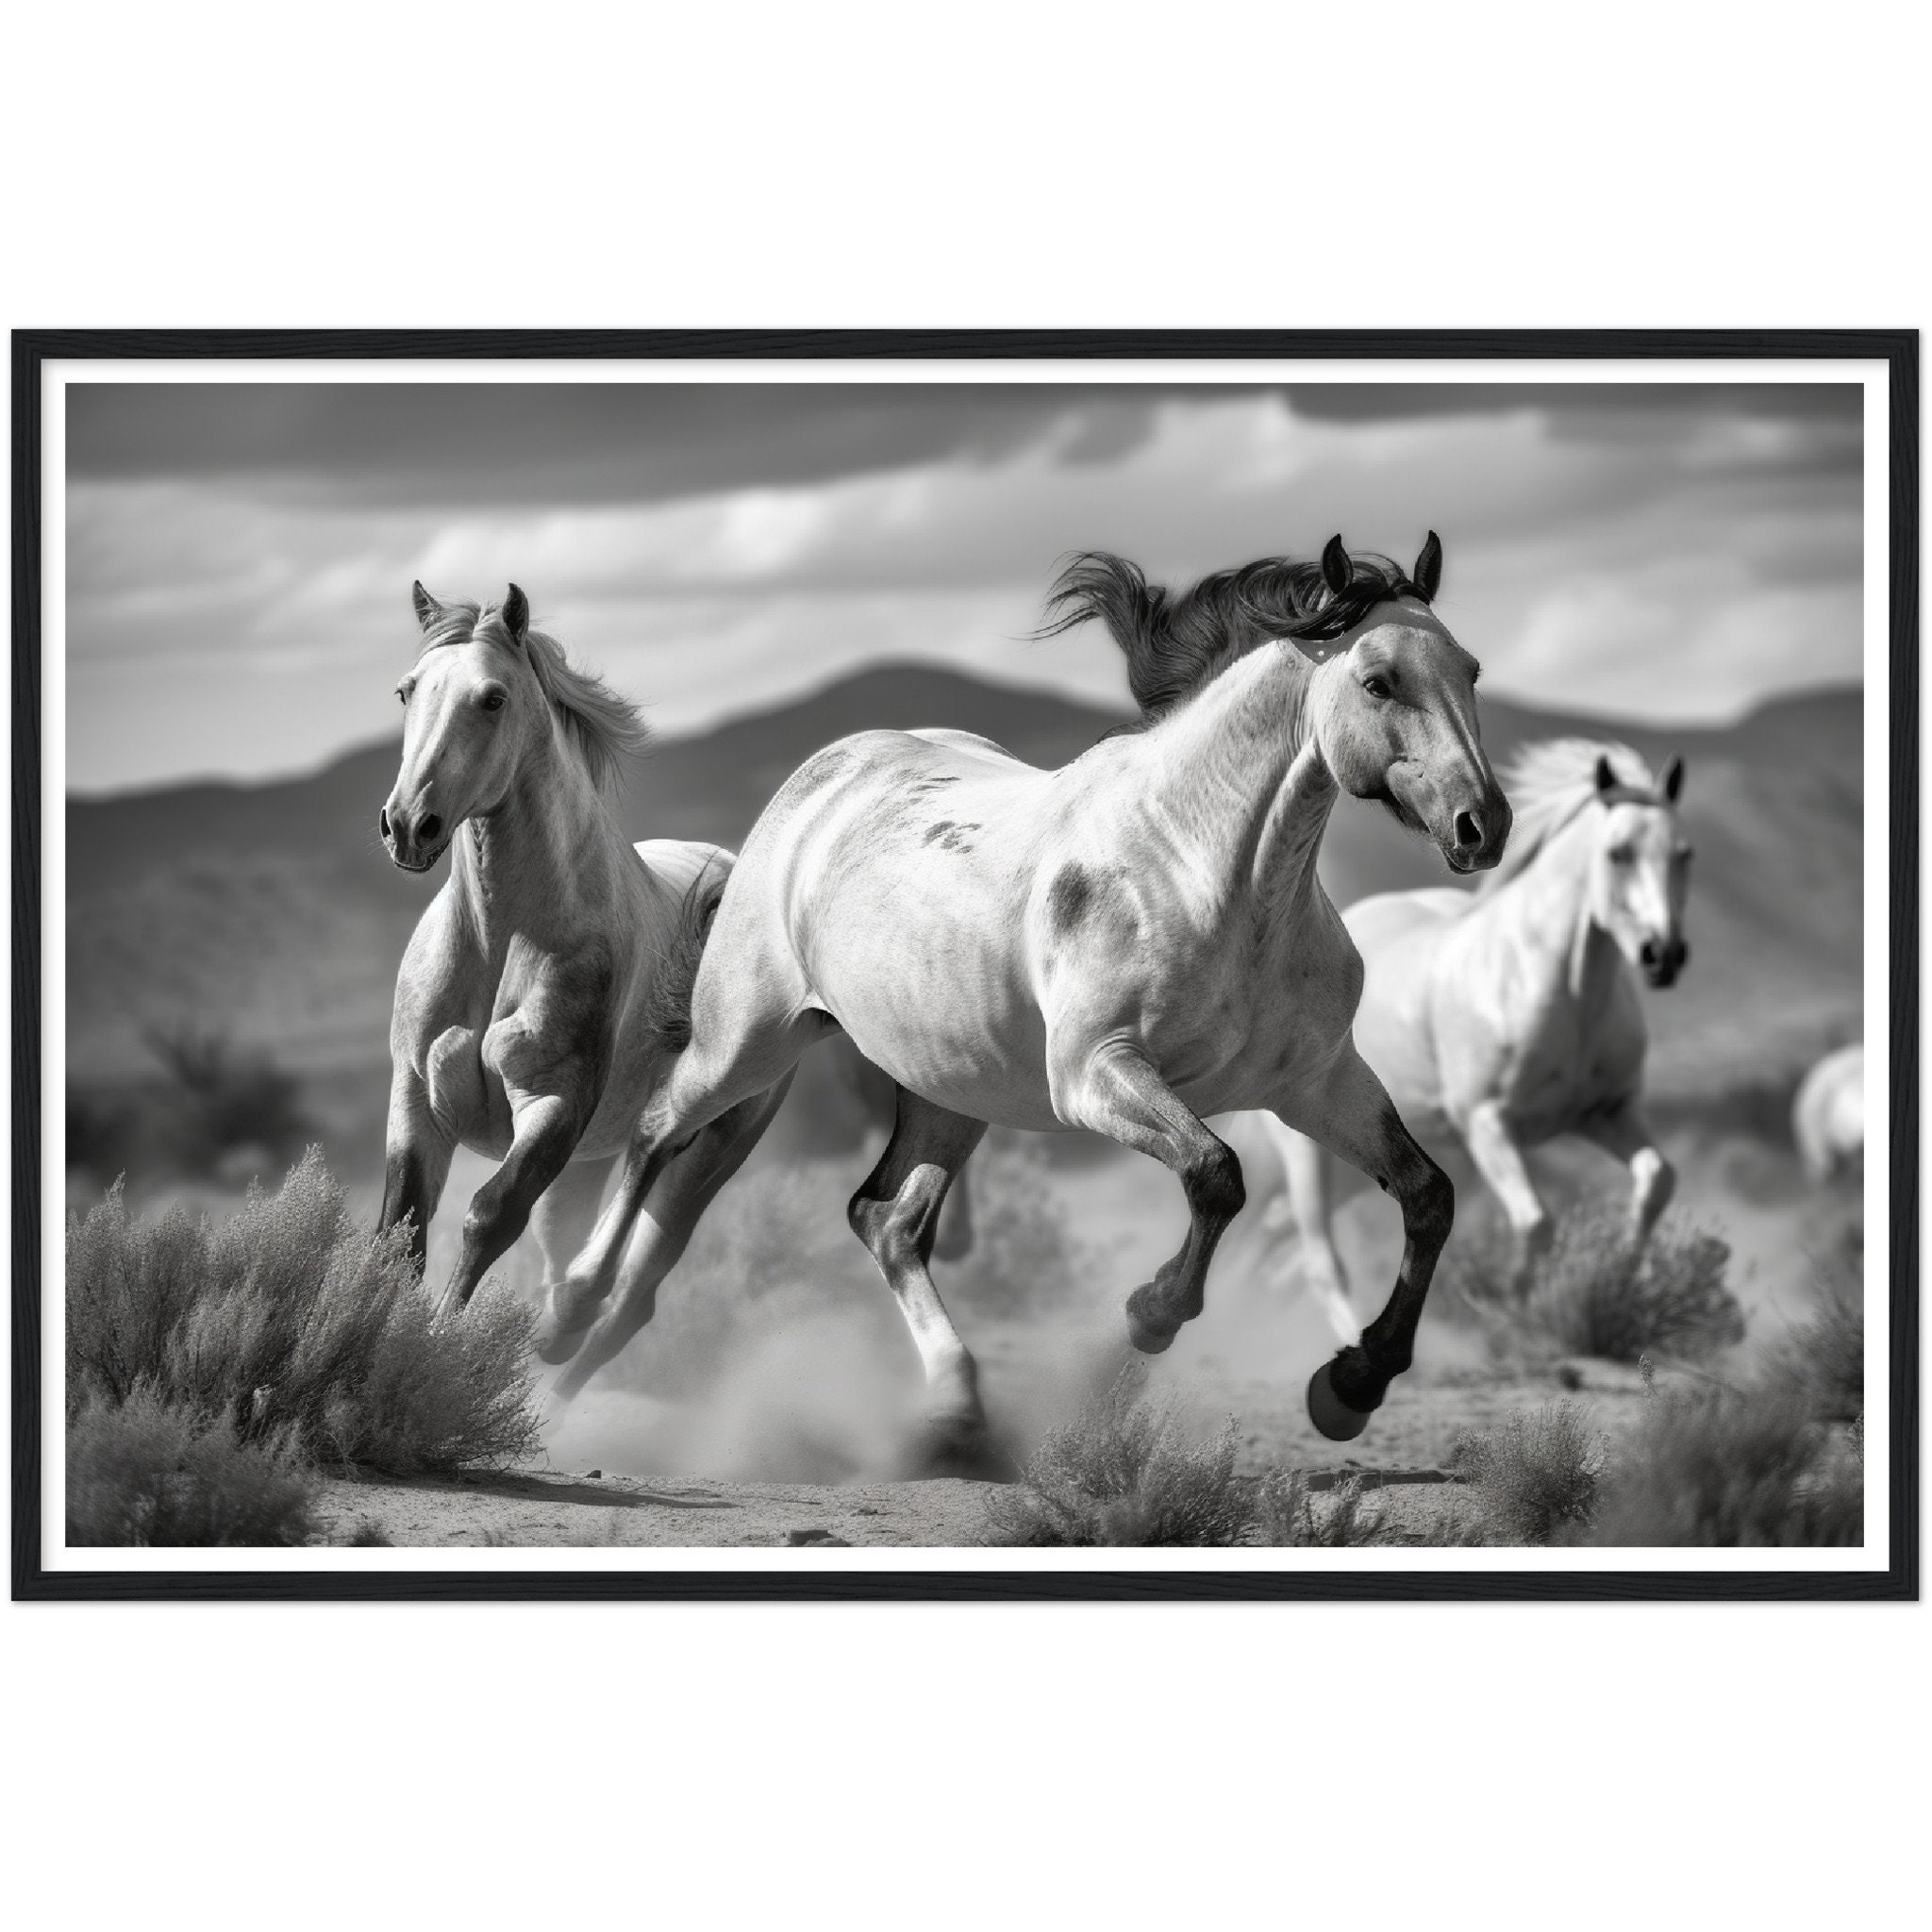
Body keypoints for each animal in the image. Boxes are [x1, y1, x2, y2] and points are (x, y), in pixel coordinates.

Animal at [376, 584, 792, 1326]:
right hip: (587, 1166)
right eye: (407, 690)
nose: (407, 826)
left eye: (492, 698)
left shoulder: (553, 1107)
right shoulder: (415, 1102)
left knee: (633, 1289)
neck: (501, 944)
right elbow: (399, 1241)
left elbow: (488, 1218)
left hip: (710, 1149)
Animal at [535, 533, 1511, 1458]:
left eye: (1469, 670)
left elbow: (1428, 1197)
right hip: (747, 1039)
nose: (1483, 826)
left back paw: (959, 1407)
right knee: (659, 1130)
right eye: (1378, 681)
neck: (1212, 878)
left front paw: (1351, 1385)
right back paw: (568, 1314)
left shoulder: (1320, 1083)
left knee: (885, 1220)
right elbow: (1217, 1176)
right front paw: (1150, 1316)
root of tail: (819, 783)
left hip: (952, 1087)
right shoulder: (1095, 1075)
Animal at [1263, 738, 1693, 1342]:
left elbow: (1657, 1179)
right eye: (1619, 853)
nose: (1664, 955)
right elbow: (1535, 1222)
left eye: (1684, 854)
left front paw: (1627, 1279)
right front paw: (1514, 1307)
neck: (1558, 989)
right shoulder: (1487, 1124)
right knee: (1322, 1265)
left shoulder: (1606, 1112)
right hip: (1306, 1151)